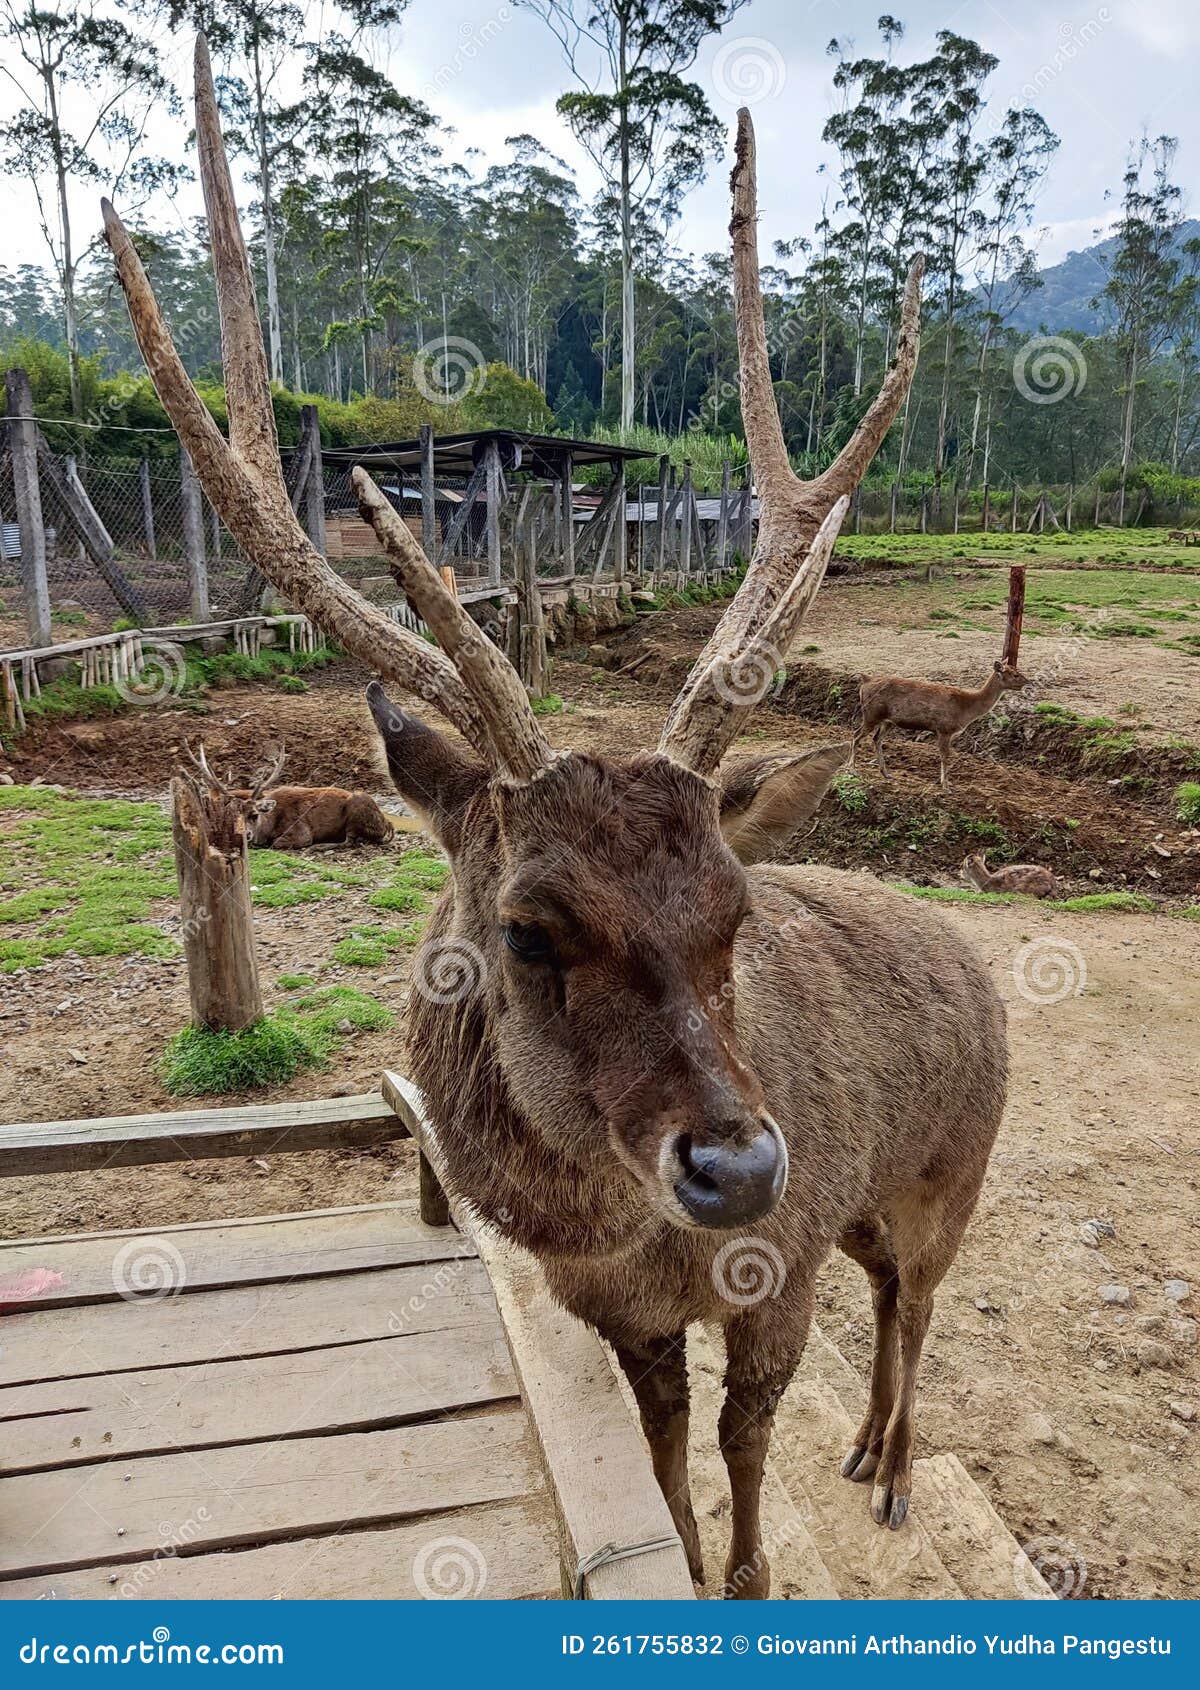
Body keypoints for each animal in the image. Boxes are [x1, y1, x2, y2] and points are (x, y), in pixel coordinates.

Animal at [182, 742, 393, 848]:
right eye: (233, 816)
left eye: (254, 815)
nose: (247, 834)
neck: (270, 824)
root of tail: (386, 823)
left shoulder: (300, 831)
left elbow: (276, 843)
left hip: (358, 806)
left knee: (349, 841)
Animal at [855, 660, 1031, 786]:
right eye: (1014, 674)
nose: (1028, 682)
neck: (966, 710)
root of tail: (865, 680)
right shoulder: (944, 729)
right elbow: (945, 756)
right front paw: (946, 786)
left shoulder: (949, 733)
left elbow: (945, 755)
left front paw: (944, 782)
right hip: (871, 714)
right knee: (856, 735)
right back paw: (853, 769)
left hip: (888, 721)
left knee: (876, 739)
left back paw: (885, 773)